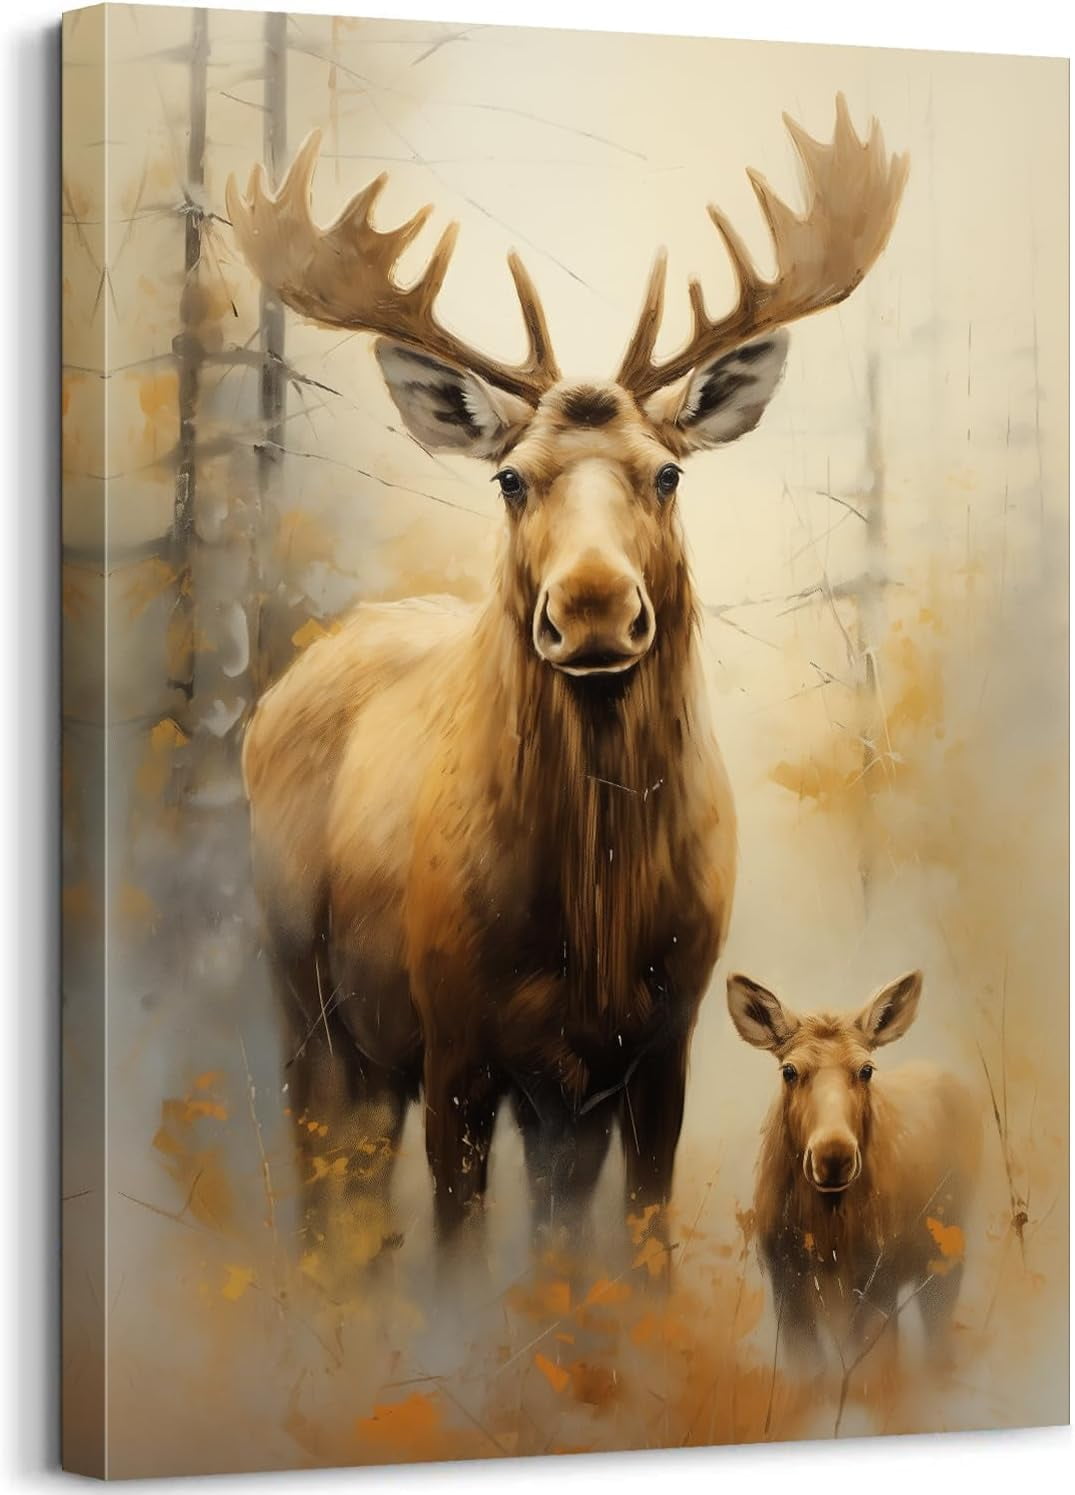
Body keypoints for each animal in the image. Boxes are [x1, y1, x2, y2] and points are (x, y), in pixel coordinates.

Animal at [227, 97, 908, 1289]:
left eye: (668, 472)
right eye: (511, 477)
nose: (591, 607)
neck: (589, 912)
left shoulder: (655, 1042)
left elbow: (635, 1243)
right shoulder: (453, 1033)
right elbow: (457, 1251)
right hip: (304, 991)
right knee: (325, 1182)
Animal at [727, 970, 982, 1371]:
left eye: (866, 1070)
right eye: (789, 1070)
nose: (833, 1155)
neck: (826, 1234)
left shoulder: (878, 1284)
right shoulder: (788, 1286)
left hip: (945, 1253)